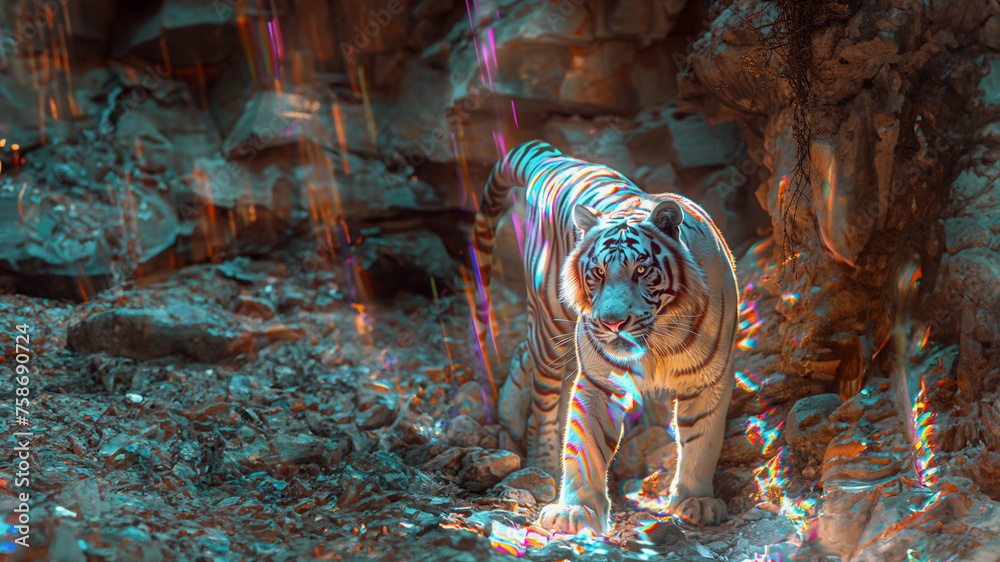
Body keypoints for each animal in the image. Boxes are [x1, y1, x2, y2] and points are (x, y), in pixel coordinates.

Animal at [471, 140, 740, 534]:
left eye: (641, 270)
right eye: (597, 272)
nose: (613, 323)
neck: (658, 339)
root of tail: (557, 159)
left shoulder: (710, 378)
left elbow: (701, 441)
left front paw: (697, 501)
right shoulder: (601, 378)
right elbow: (587, 442)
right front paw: (574, 510)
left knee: (523, 352)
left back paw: (508, 409)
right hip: (551, 329)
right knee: (542, 400)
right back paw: (540, 460)